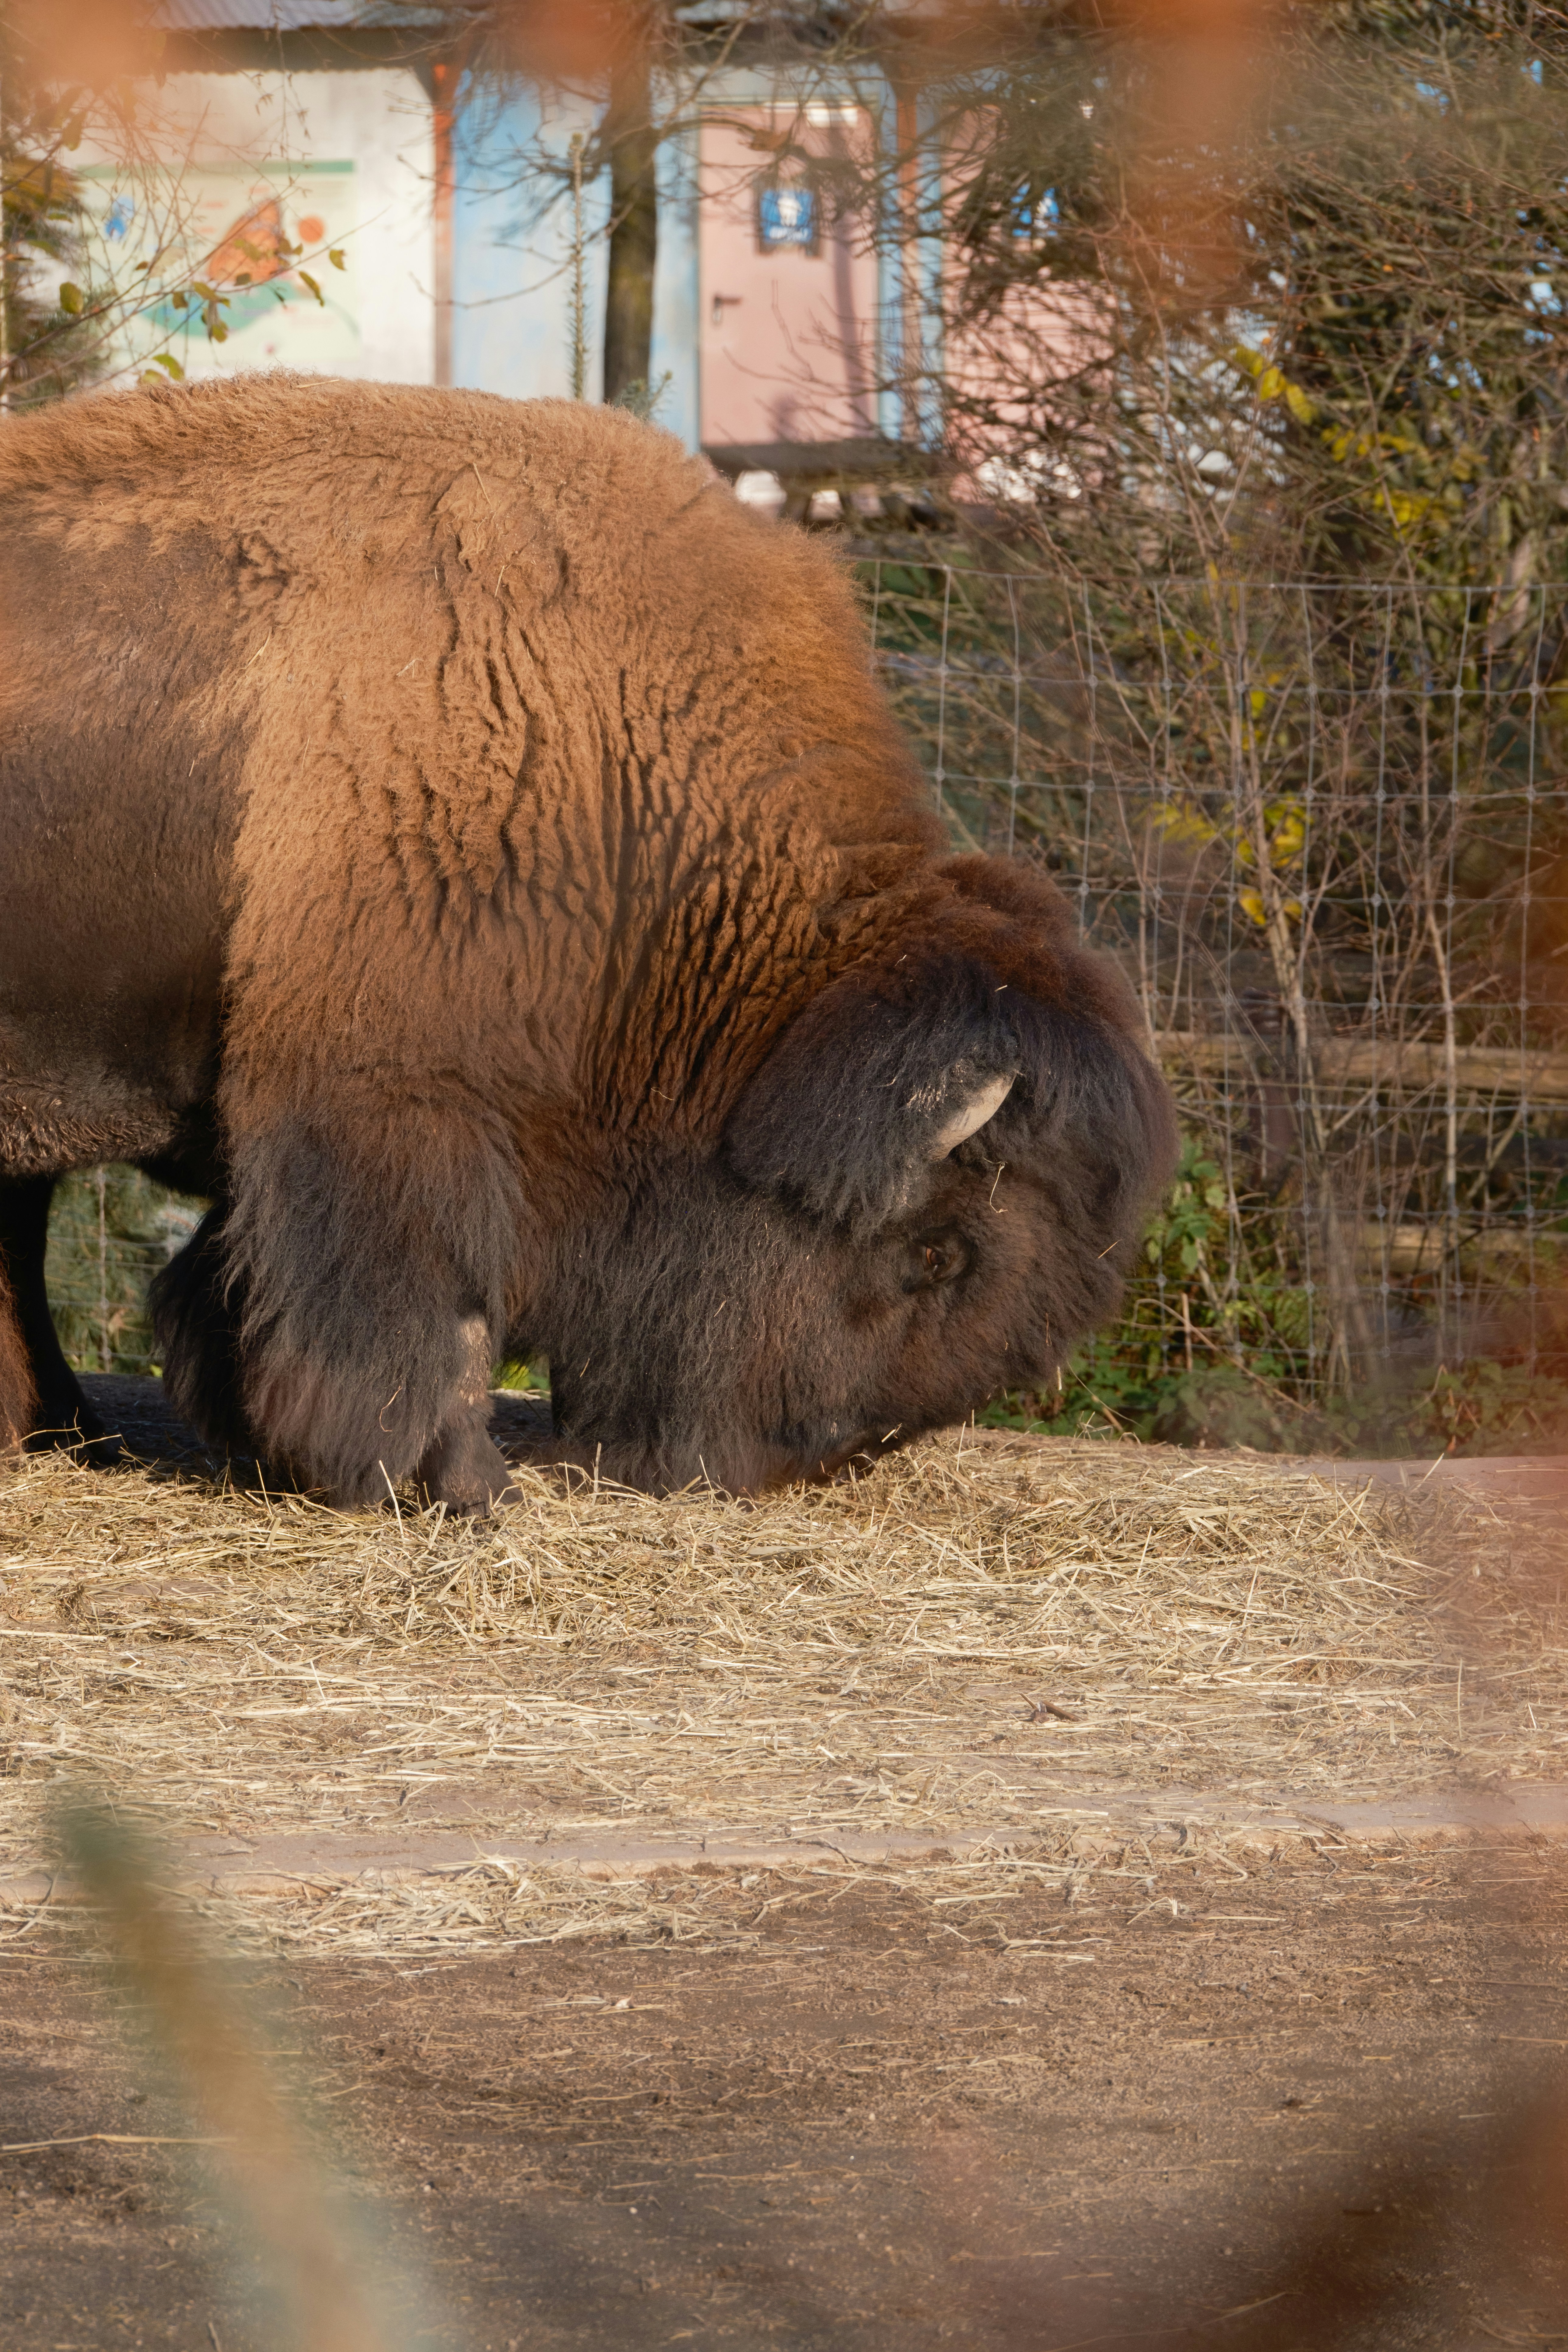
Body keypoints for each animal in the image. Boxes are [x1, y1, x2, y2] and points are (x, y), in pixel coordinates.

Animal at [0, 376, 1176, 1509]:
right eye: (939, 1251)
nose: (817, 1458)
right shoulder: (395, 1095)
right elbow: (434, 1309)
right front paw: (464, 1484)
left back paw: (62, 1432)